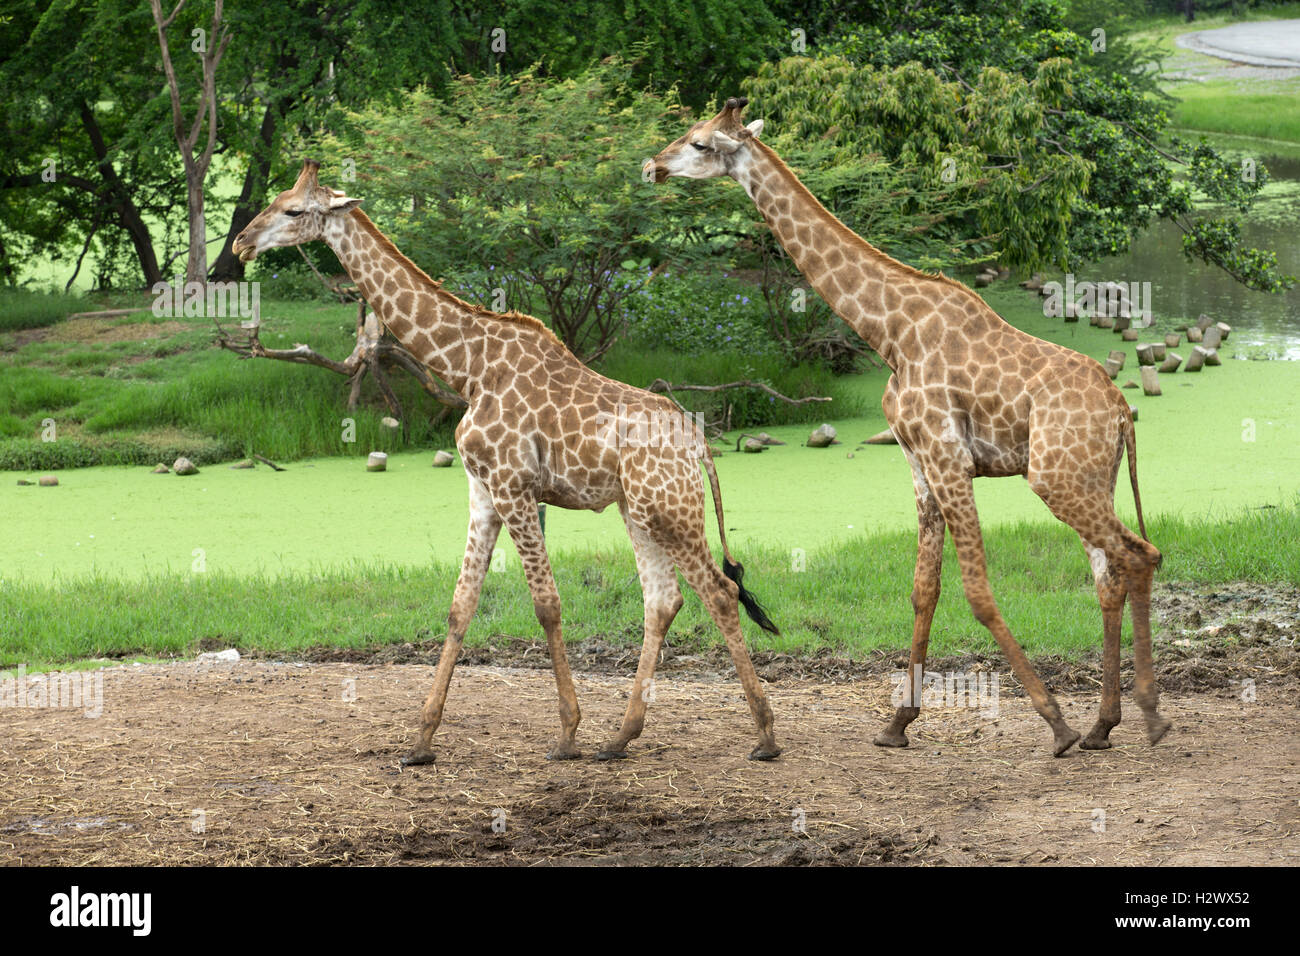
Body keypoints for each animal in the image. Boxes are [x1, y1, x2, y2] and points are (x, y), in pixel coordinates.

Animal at [231, 160, 781, 764]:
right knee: (663, 600)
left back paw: (764, 736)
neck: (467, 366)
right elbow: (460, 604)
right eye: (276, 200)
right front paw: (421, 740)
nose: (240, 243)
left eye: (292, 210)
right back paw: (620, 737)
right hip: (638, 510)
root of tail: (698, 441)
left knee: (720, 593)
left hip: (671, 509)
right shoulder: (483, 491)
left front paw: (566, 734)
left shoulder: (514, 486)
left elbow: (546, 604)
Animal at [646, 99, 1170, 757]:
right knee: (1110, 574)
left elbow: (976, 590)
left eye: (697, 143)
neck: (888, 333)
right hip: (1089, 477)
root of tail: (1121, 410)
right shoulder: (918, 461)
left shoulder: (949, 457)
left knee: (1140, 555)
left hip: (1056, 477)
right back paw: (1105, 725)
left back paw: (1146, 718)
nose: (651, 167)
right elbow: (925, 588)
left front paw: (1055, 723)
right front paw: (898, 722)